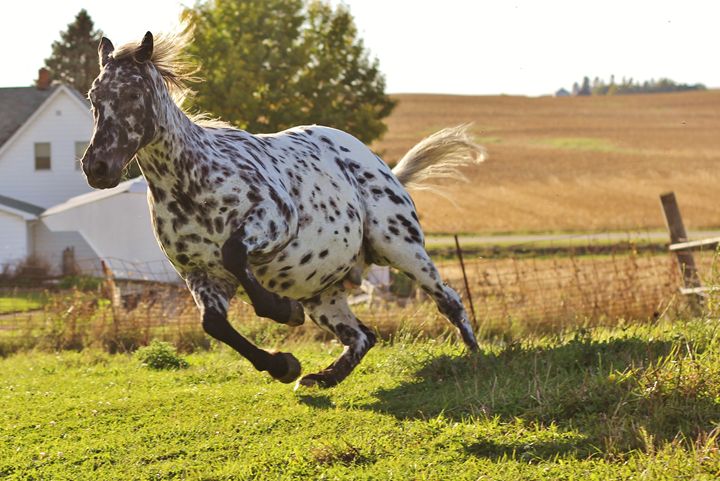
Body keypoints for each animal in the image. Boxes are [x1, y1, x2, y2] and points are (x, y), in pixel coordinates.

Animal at [80, 30, 486, 388]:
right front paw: (284, 365)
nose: (97, 167)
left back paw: (474, 356)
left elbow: (234, 254)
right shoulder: (199, 274)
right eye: (94, 97)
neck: (189, 181)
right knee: (362, 336)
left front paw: (282, 311)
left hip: (400, 247)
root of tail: (379, 164)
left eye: (133, 93)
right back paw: (323, 378)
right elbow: (214, 324)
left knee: (449, 300)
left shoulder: (272, 222)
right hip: (320, 290)